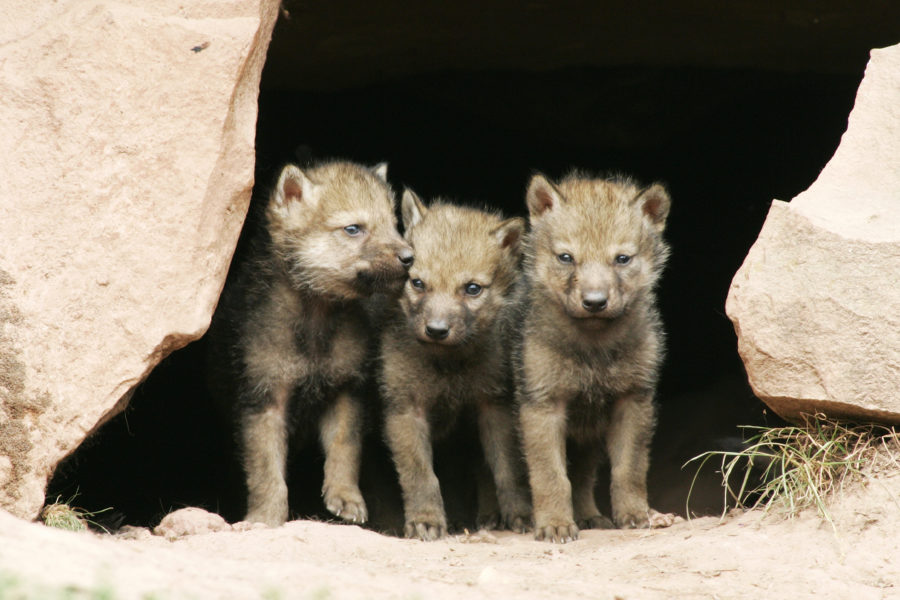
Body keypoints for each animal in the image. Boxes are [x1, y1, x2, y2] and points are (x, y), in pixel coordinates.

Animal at [207, 160, 413, 527]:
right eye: (353, 229)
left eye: (393, 224)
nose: (410, 256)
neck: (317, 320)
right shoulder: (263, 399)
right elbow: (265, 470)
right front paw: (265, 517)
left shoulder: (346, 391)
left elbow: (345, 449)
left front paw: (346, 498)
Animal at [380, 190, 531, 540]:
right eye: (417, 283)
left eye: (472, 288)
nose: (436, 330)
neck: (448, 367)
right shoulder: (405, 409)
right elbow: (420, 474)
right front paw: (425, 520)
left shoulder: (494, 405)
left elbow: (509, 469)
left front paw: (520, 514)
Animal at [516, 171, 673, 543]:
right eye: (566, 257)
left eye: (622, 259)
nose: (595, 302)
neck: (593, 349)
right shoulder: (542, 406)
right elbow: (550, 476)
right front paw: (554, 524)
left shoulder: (633, 401)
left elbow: (629, 469)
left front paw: (635, 514)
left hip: (587, 436)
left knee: (584, 478)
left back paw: (589, 515)